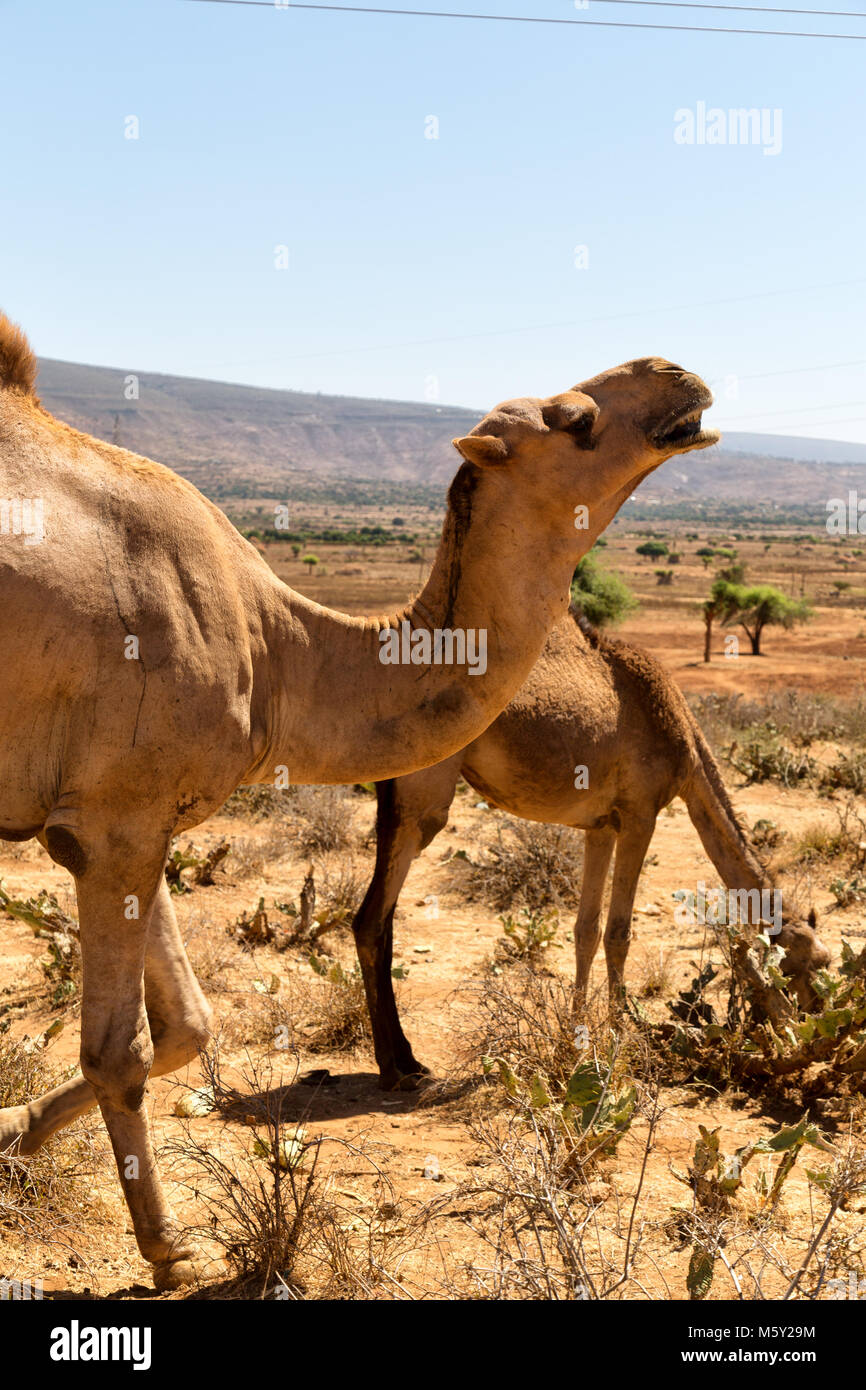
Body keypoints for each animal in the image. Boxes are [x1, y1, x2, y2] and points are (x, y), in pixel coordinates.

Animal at [0, 312, 720, 1288]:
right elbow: (124, 1050)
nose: (677, 369)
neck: (277, 651)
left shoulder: (122, 822)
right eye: (574, 419)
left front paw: (16, 1129)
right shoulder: (117, 819)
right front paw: (169, 1250)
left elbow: (190, 1024)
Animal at [351, 611, 830, 1089]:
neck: (687, 744)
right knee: (371, 919)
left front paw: (574, 1037)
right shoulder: (640, 814)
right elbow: (619, 933)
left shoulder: (601, 827)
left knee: (384, 917)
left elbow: (586, 930)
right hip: (424, 791)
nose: (817, 1015)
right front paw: (622, 1038)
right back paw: (393, 1068)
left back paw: (409, 1059)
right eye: (815, 963)